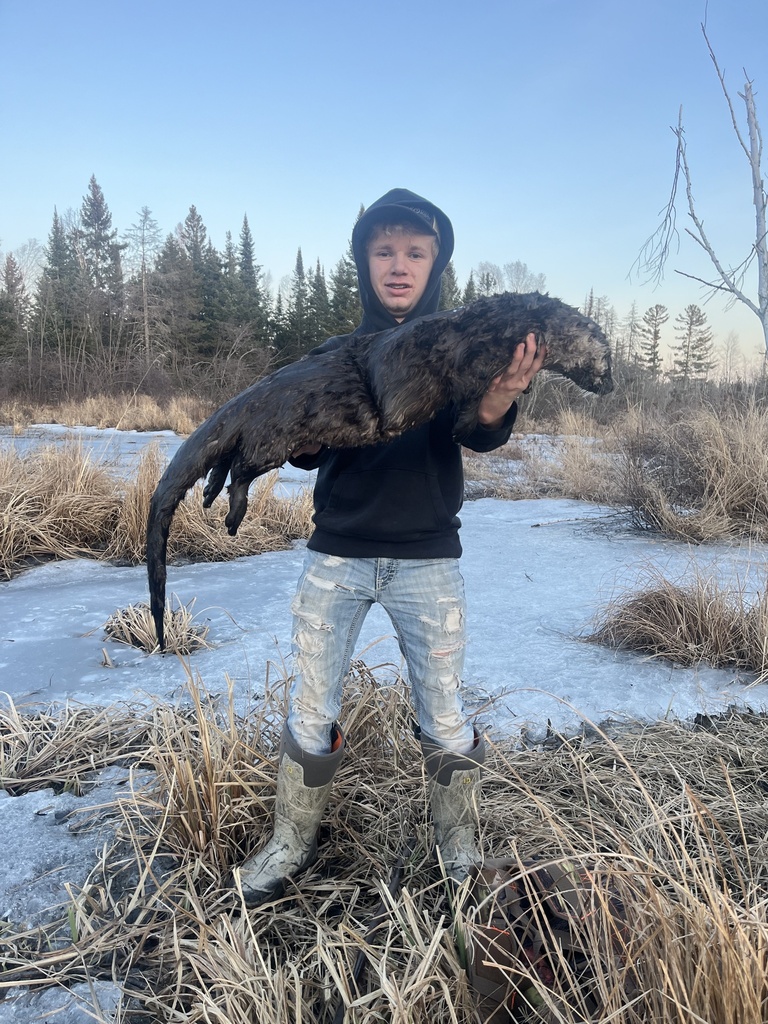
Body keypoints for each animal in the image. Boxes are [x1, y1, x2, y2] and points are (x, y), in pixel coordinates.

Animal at [146, 291, 612, 648]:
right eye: (608, 360)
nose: (610, 386)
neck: (504, 325)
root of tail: (246, 402)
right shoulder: (474, 364)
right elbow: (465, 404)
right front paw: (465, 424)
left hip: (259, 437)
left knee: (224, 461)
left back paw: (210, 494)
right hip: (272, 436)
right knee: (241, 467)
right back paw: (231, 514)